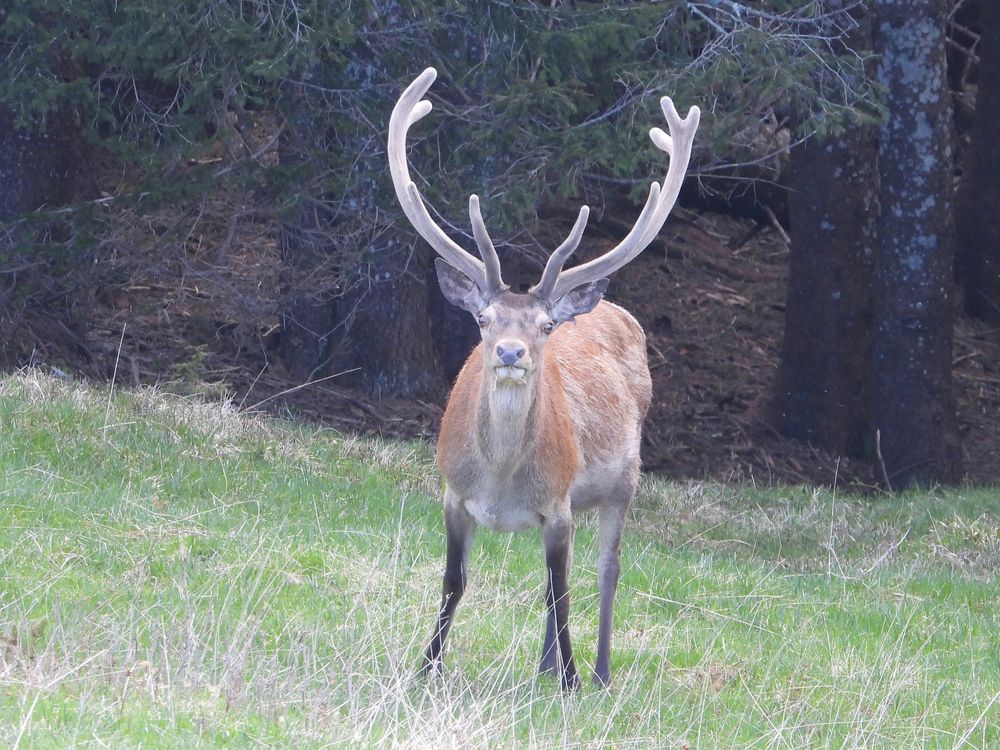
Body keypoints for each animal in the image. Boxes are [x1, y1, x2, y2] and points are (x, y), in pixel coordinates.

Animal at [388, 68, 699, 690]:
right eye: (482, 319)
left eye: (546, 325)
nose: (511, 352)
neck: (500, 481)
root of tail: (612, 310)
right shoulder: (454, 494)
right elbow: (455, 581)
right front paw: (428, 666)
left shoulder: (556, 504)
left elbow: (563, 591)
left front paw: (572, 682)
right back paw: (542, 665)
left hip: (622, 483)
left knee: (605, 571)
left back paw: (598, 671)